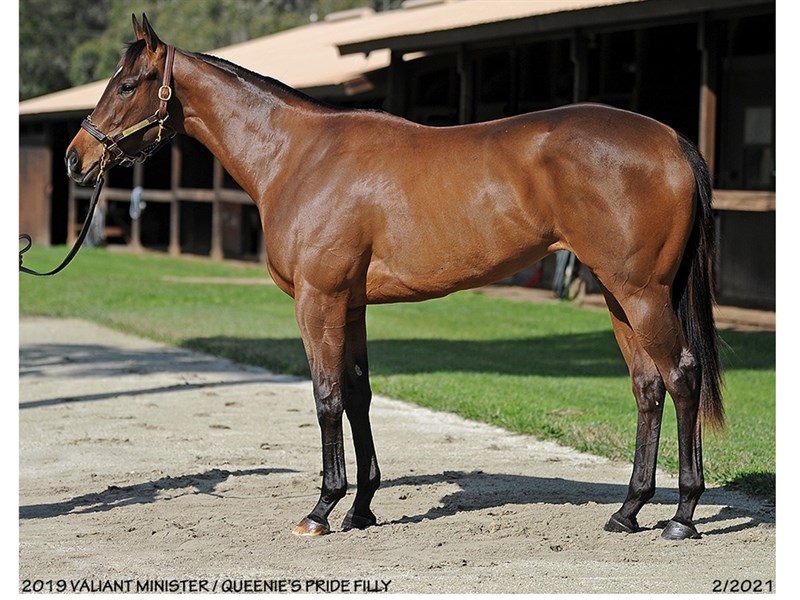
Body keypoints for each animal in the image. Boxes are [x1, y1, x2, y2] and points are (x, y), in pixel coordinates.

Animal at [65, 14, 724, 541]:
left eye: (126, 85)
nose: (77, 158)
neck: (298, 156)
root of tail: (672, 139)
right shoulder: (351, 305)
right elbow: (358, 394)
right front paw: (361, 508)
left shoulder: (318, 301)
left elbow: (326, 395)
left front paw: (322, 510)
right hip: (619, 295)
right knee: (647, 387)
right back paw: (628, 511)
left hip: (642, 295)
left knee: (681, 375)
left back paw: (682, 516)